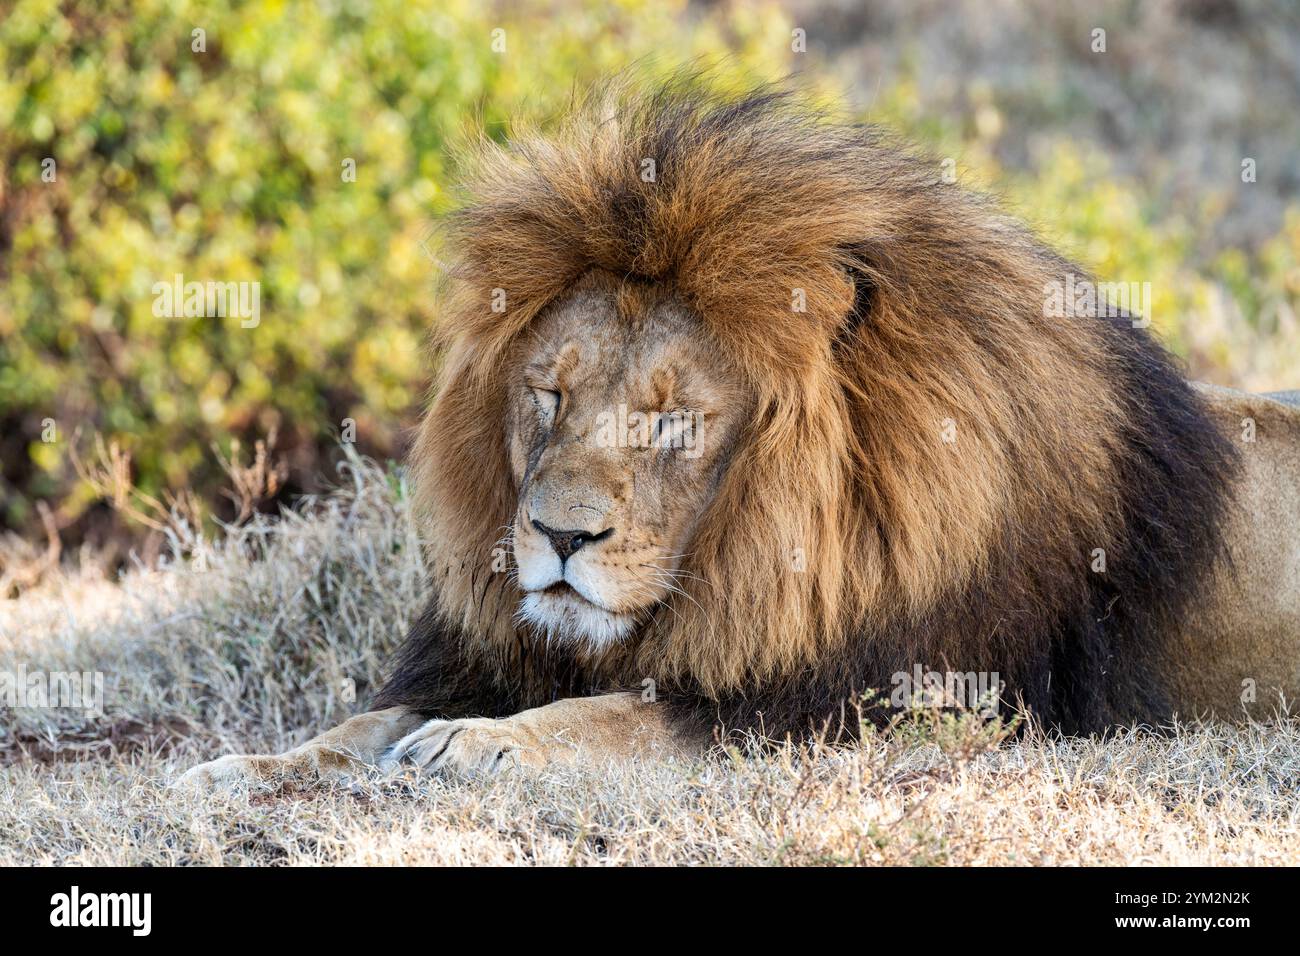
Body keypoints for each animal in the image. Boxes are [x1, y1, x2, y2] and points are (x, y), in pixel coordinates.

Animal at [178, 81, 1300, 791]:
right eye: (548, 394)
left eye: (674, 417)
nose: (559, 537)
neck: (750, 547)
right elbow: (365, 722)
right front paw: (237, 766)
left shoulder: (881, 701)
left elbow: (626, 713)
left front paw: (477, 745)